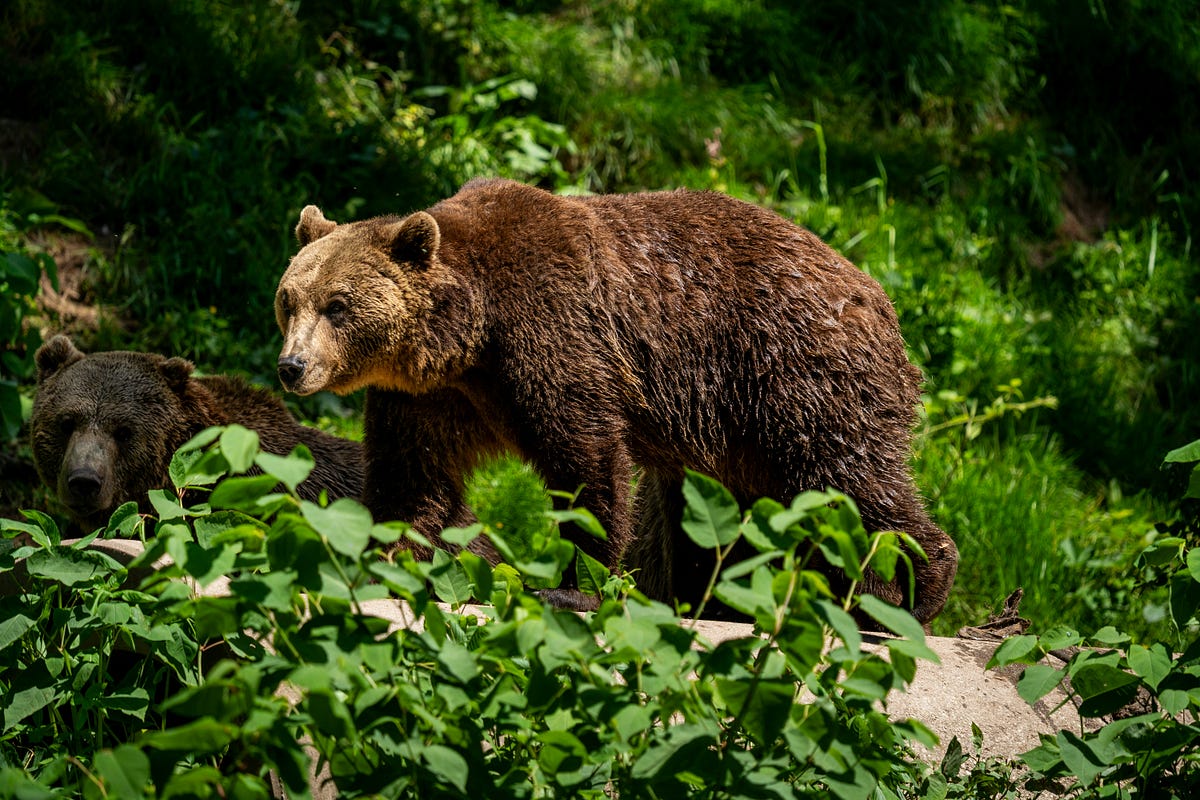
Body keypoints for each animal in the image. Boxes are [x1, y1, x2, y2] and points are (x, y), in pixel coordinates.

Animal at [273, 177, 958, 622]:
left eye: (338, 306)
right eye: (289, 299)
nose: (291, 367)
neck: (470, 336)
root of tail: (877, 294)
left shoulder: (553, 335)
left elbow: (587, 460)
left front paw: (575, 585)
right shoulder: (433, 397)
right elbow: (411, 477)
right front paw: (383, 561)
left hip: (792, 372)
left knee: (847, 478)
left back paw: (916, 588)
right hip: (734, 433)